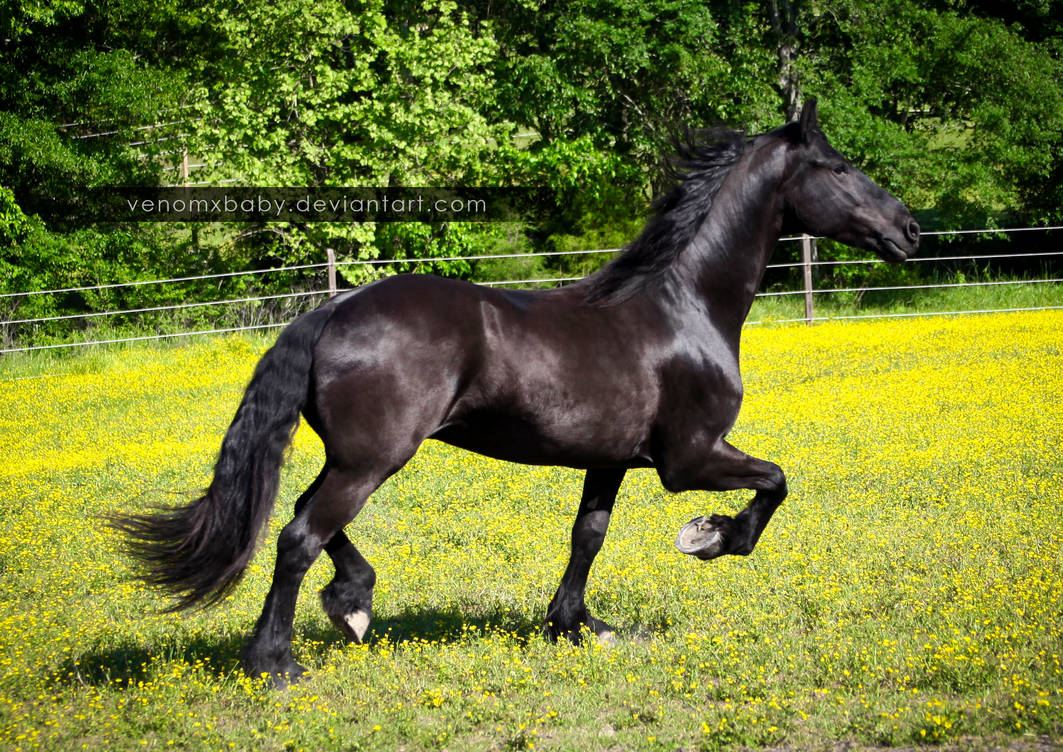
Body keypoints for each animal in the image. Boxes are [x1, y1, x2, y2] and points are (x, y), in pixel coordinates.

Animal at [111, 99, 920, 687]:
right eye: (838, 167)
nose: (910, 230)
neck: (683, 310)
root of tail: (331, 311)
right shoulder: (687, 460)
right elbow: (775, 482)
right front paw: (709, 537)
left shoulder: (610, 461)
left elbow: (587, 536)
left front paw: (576, 625)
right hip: (374, 458)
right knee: (298, 534)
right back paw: (277, 664)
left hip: (358, 456)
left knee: (301, 517)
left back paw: (352, 605)